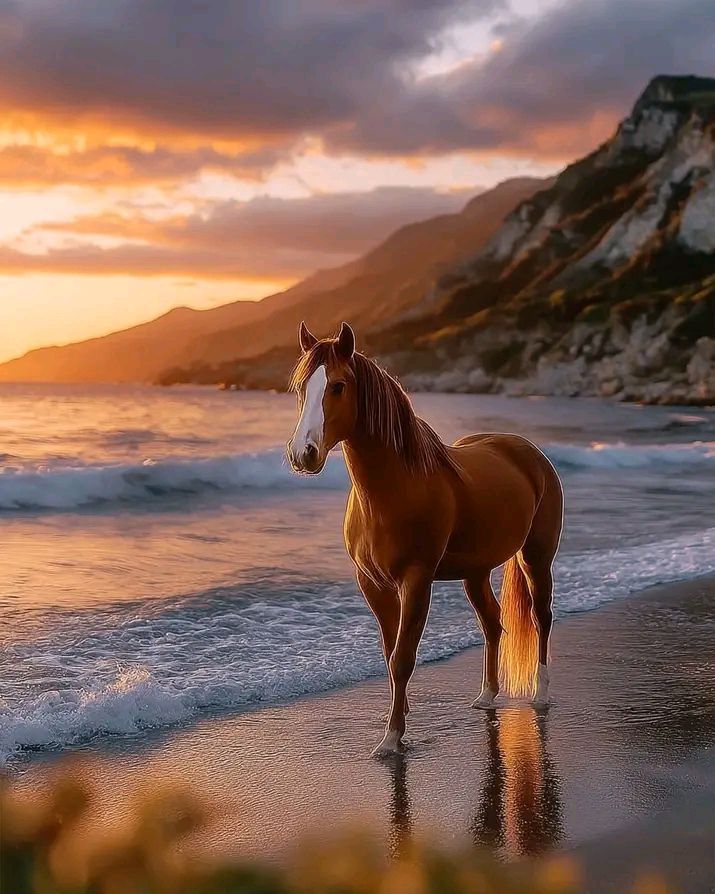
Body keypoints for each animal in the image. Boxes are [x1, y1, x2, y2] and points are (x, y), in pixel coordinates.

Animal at [287, 322, 563, 757]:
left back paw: (540, 693)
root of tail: (528, 451)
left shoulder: (416, 581)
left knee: (541, 617)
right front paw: (398, 721)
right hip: (475, 572)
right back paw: (487, 695)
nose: (304, 453)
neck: (395, 489)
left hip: (537, 557)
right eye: (302, 388)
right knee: (492, 622)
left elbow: (403, 658)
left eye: (338, 386)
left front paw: (392, 738)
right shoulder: (373, 584)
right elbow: (390, 655)